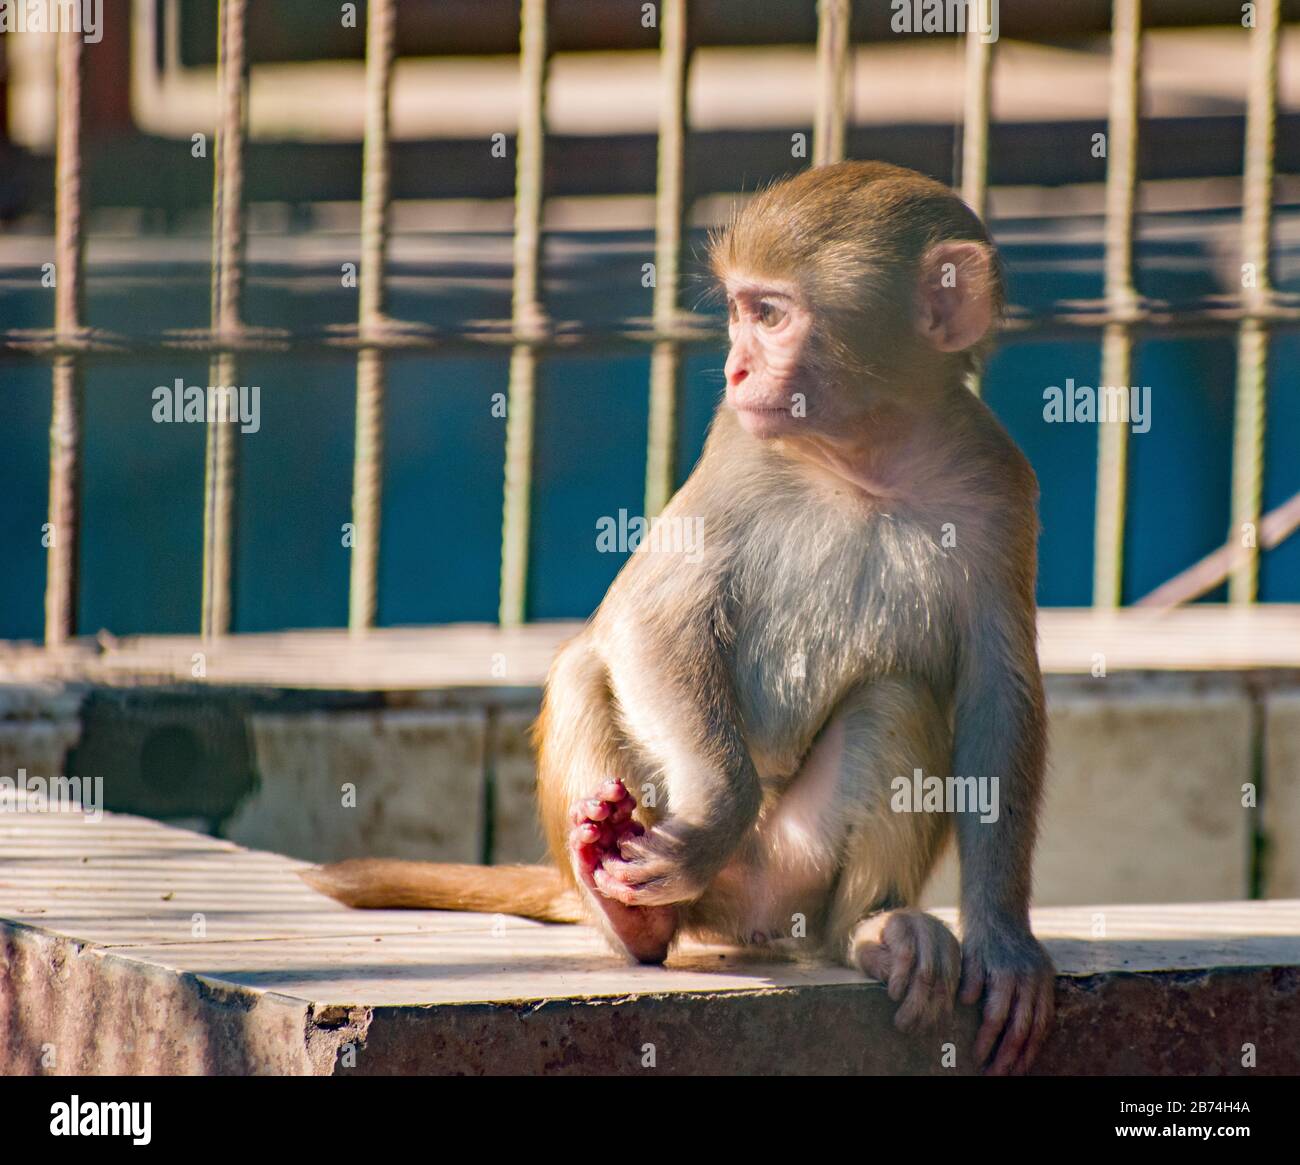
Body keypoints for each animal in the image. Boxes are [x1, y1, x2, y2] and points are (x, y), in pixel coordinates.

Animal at [303, 160, 1056, 1076]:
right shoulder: (738, 451)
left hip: (793, 873)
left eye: (770, 314)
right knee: (586, 669)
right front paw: (713, 816)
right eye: (740, 311)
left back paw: (874, 930)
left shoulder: (996, 487)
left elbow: (998, 695)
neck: (864, 465)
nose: (734, 370)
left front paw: (1005, 943)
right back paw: (636, 920)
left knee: (897, 701)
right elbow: (650, 619)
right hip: (675, 863)